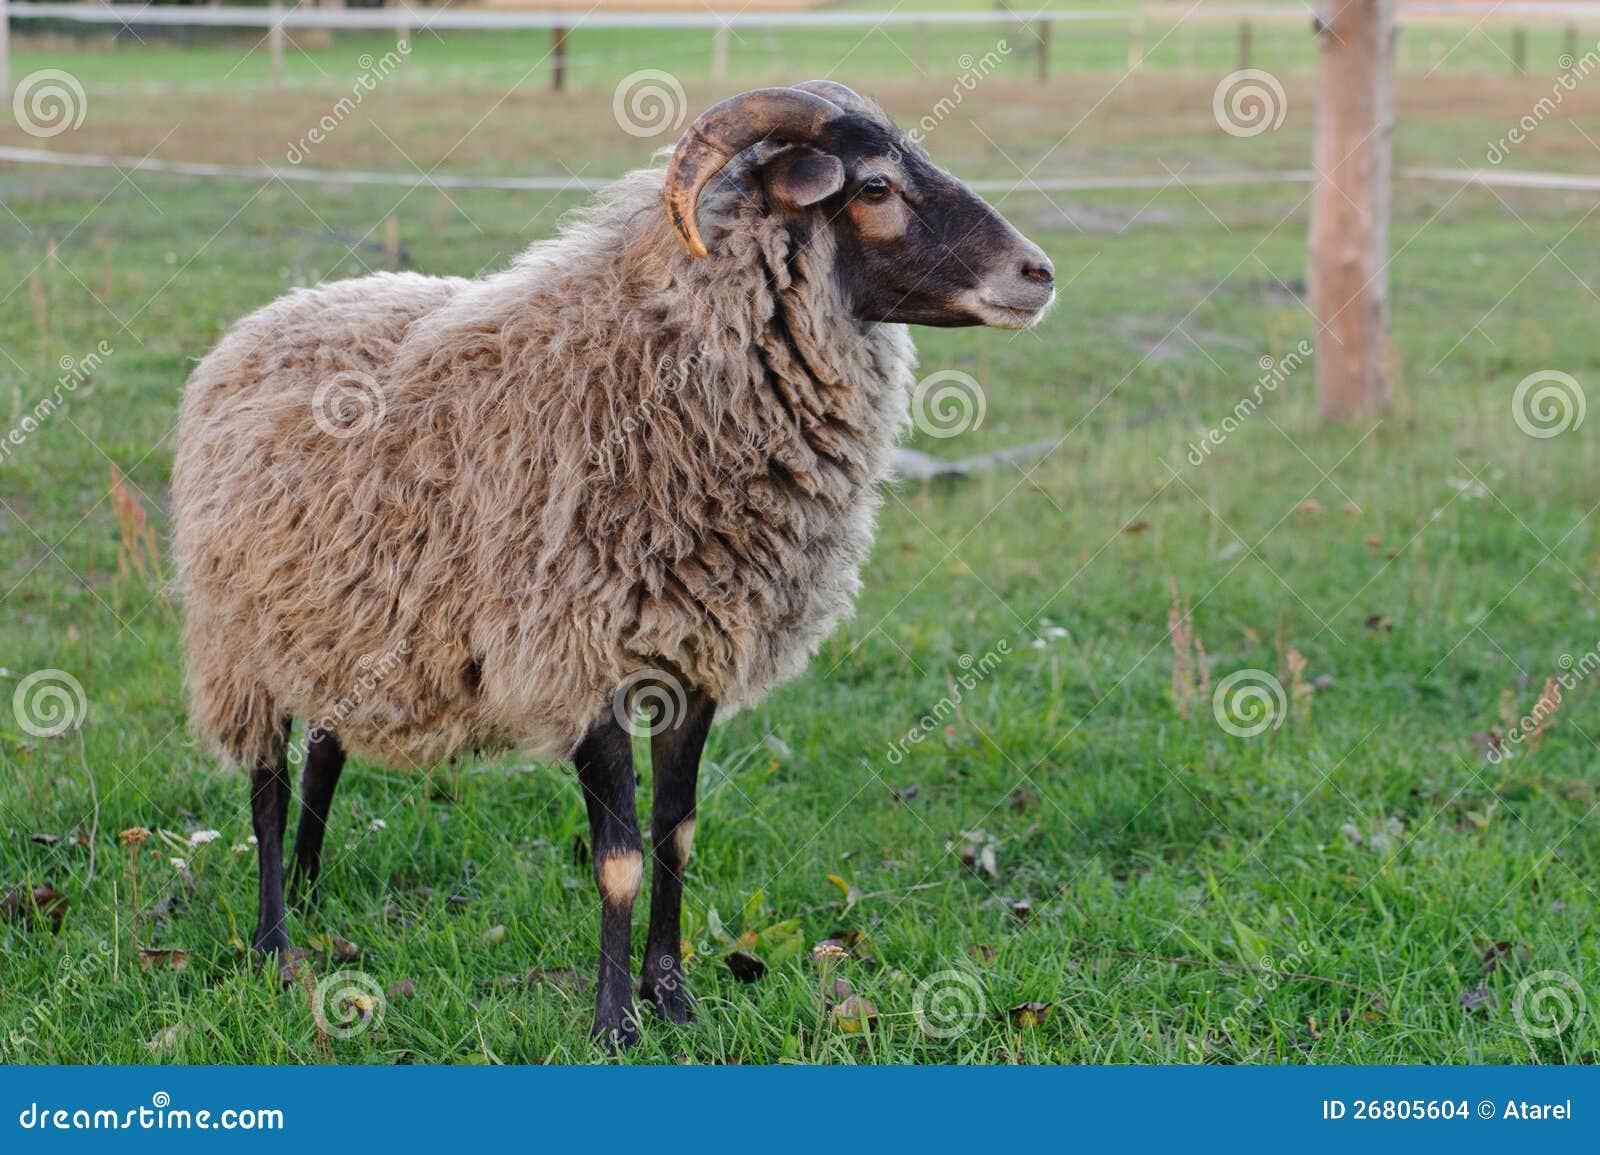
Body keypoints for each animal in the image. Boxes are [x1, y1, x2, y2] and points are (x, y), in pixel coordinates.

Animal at [173, 81, 1055, 1047]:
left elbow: (676, 833)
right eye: (874, 188)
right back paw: (273, 939)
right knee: (266, 783)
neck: (658, 369)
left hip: (341, 623)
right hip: (240, 640)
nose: (1038, 274)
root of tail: (277, 312)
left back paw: (309, 886)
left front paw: (674, 999)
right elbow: (621, 857)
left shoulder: (695, 660)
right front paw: (615, 1025)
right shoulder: (577, 656)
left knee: (325, 754)